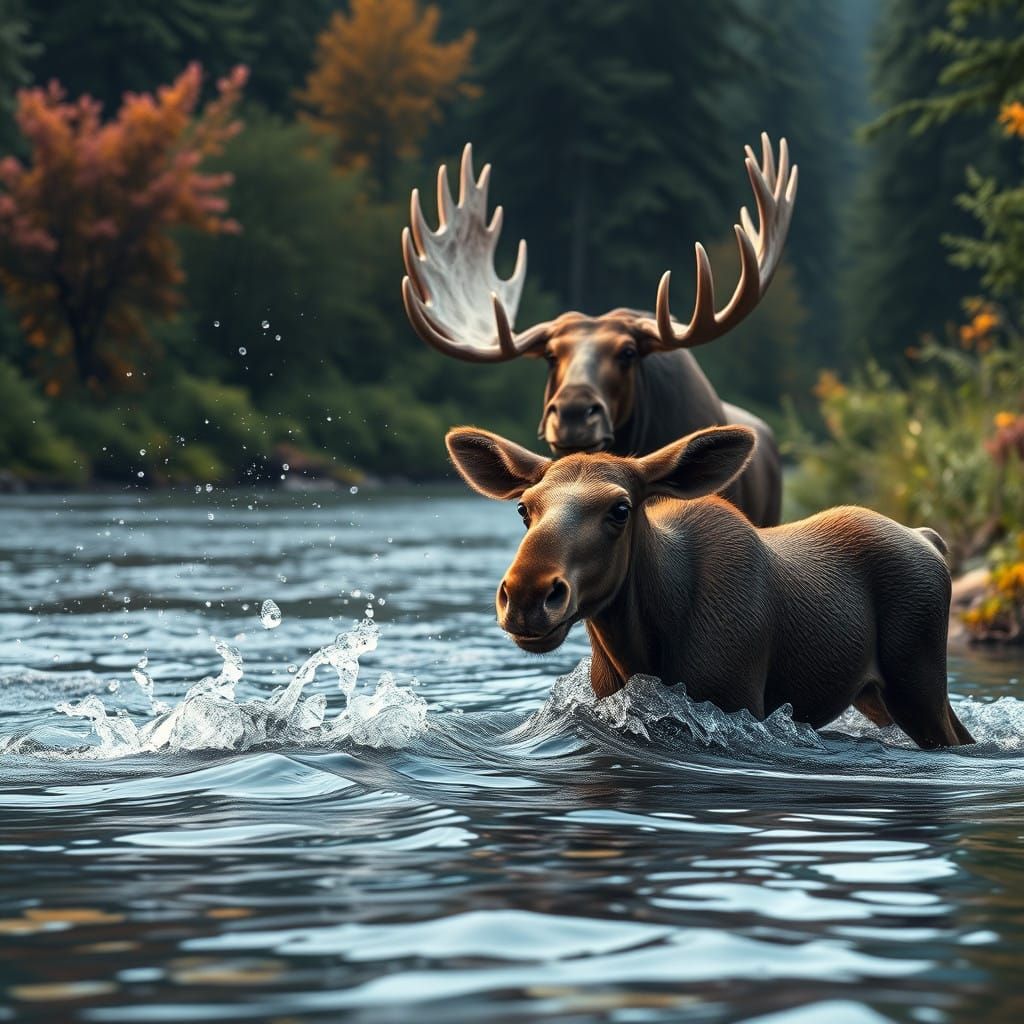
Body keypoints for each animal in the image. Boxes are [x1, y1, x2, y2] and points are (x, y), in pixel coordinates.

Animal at [444, 425, 974, 750]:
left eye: (621, 508)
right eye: (524, 508)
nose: (528, 595)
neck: (644, 644)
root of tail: (930, 539)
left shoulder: (739, 702)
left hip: (918, 682)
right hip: (876, 694)